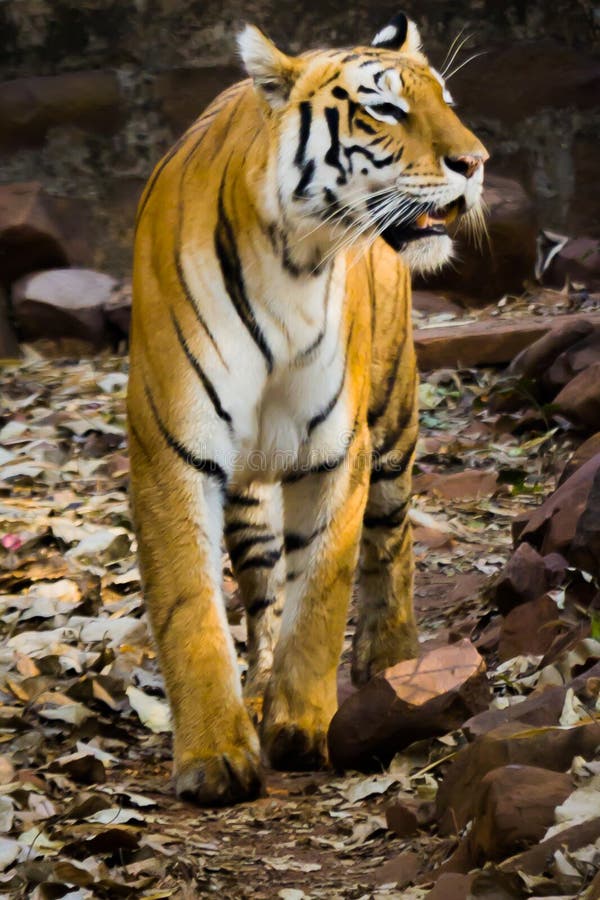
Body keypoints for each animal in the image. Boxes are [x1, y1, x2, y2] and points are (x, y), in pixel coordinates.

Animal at [128, 11, 487, 806]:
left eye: (448, 101)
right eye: (385, 108)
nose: (476, 163)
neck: (293, 264)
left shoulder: (335, 450)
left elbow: (322, 591)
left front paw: (303, 727)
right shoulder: (174, 450)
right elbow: (192, 607)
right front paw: (216, 755)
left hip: (393, 413)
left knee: (391, 541)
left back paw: (393, 661)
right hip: (249, 492)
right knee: (262, 588)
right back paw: (259, 685)